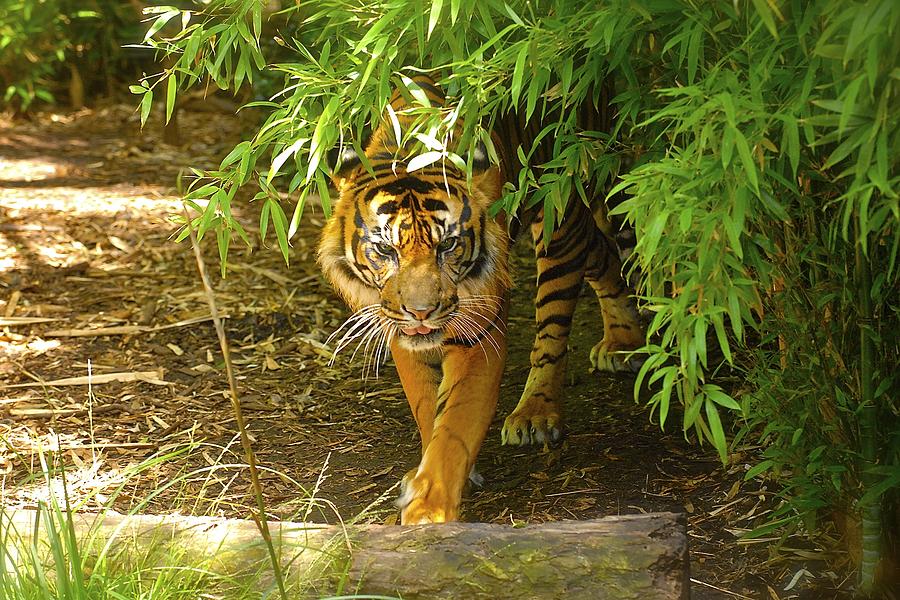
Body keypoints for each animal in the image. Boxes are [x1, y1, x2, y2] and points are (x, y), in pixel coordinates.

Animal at [317, 75, 644, 524]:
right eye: (385, 249)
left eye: (448, 245)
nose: (421, 312)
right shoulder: (399, 332)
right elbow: (426, 404)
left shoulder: (478, 333)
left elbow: (456, 419)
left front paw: (430, 508)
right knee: (605, 255)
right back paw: (622, 341)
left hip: (559, 215)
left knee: (559, 316)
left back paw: (537, 410)